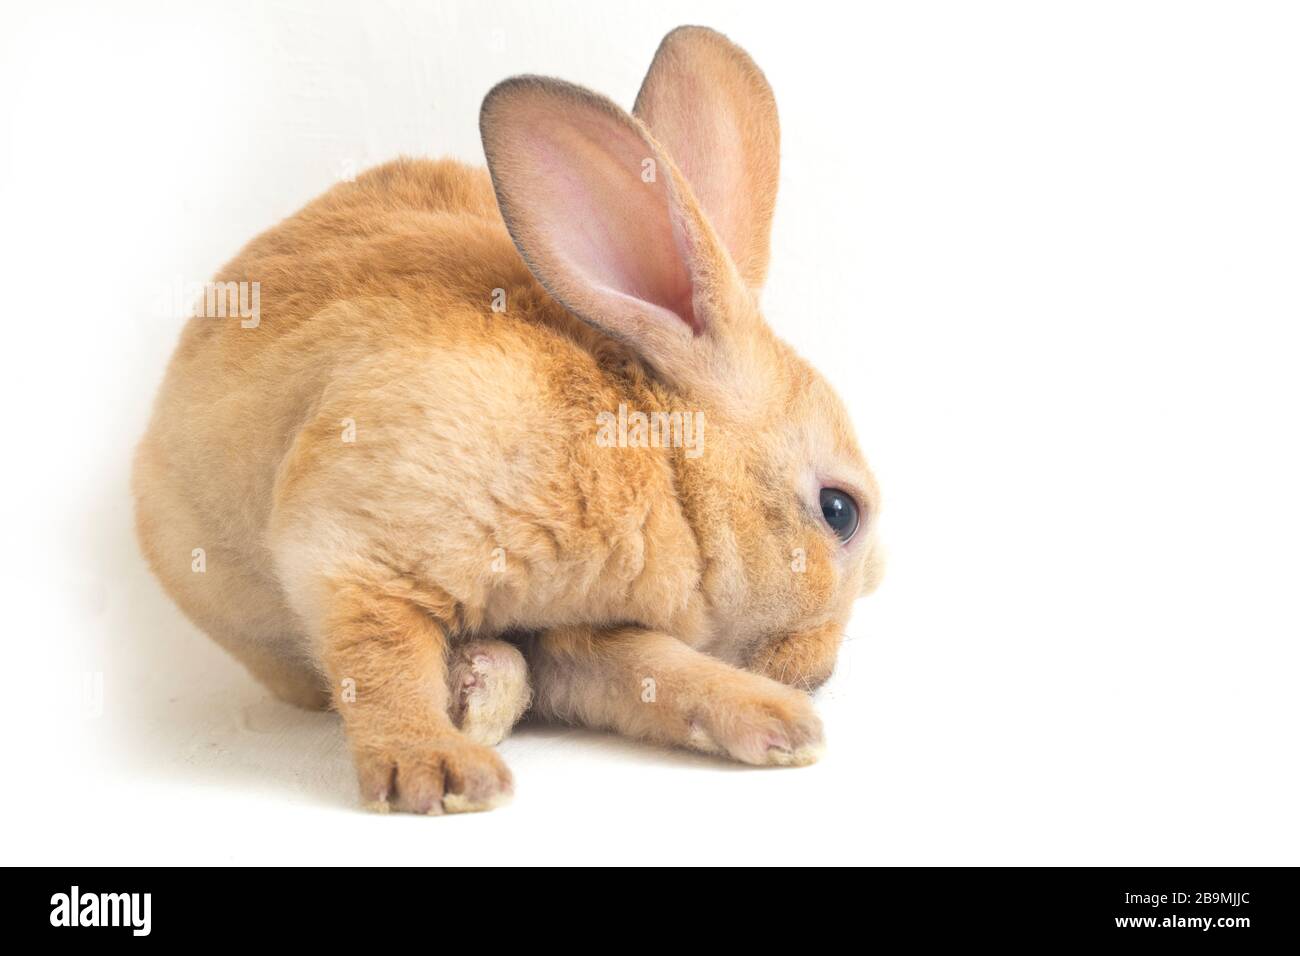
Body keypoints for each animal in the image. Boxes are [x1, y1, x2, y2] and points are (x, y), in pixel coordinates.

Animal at [132, 25, 884, 815]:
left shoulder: (585, 628)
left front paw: (781, 728)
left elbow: (645, 668)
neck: (655, 462)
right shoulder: (350, 547)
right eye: (839, 511)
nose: (815, 676)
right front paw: (436, 775)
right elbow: (382, 661)